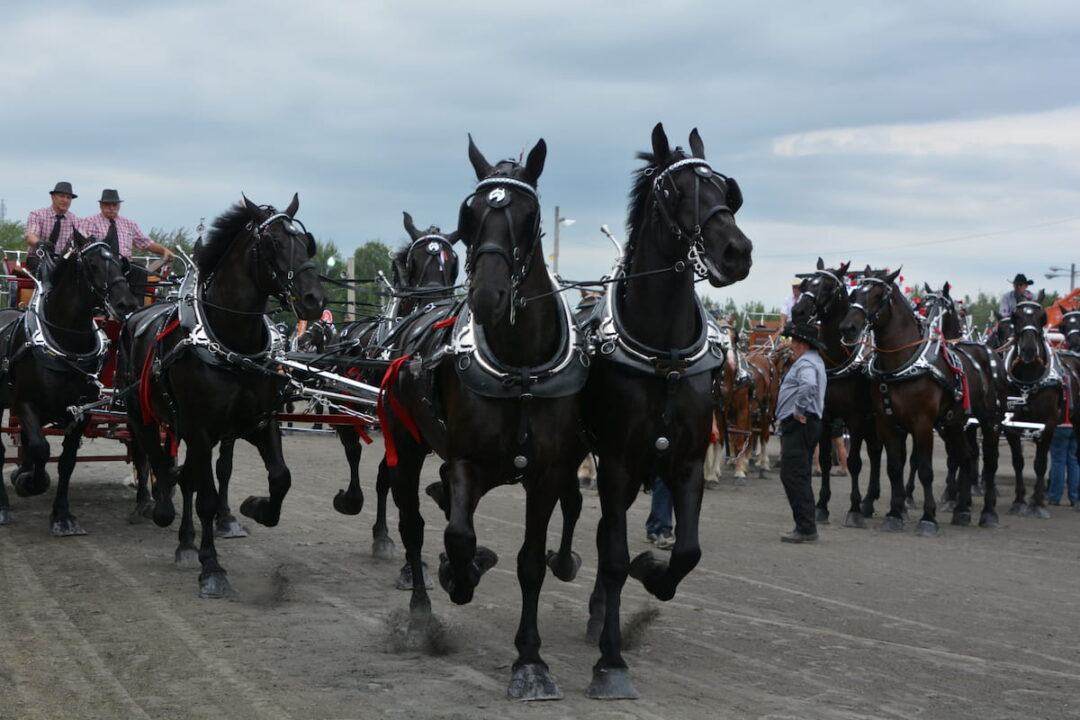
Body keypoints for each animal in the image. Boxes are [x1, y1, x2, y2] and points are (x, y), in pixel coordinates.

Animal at [0, 230, 140, 533]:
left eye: (121, 263)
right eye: (92, 264)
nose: (127, 304)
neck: (65, 344)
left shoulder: (81, 412)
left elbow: (66, 462)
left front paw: (62, 515)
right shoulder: (25, 403)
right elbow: (41, 448)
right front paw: (30, 483)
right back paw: (4, 506)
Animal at [117, 194, 326, 597]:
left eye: (306, 242)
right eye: (274, 243)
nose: (314, 298)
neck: (231, 344)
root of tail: (138, 314)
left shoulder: (259, 423)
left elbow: (280, 477)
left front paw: (256, 507)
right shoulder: (199, 429)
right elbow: (208, 499)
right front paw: (212, 568)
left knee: (186, 477)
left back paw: (185, 542)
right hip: (140, 411)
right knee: (156, 459)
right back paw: (159, 510)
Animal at [377, 137, 589, 700]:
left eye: (530, 215)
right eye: (469, 215)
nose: (488, 295)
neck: (520, 370)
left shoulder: (546, 474)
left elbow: (531, 563)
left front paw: (530, 662)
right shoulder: (466, 461)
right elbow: (457, 535)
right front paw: (458, 576)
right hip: (407, 445)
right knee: (413, 524)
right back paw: (423, 608)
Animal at [582, 123, 751, 698]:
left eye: (725, 189)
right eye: (676, 190)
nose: (737, 250)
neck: (664, 355)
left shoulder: (685, 461)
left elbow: (687, 552)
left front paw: (652, 572)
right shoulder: (614, 462)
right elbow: (614, 557)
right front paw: (612, 662)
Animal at [790, 259, 883, 528]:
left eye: (829, 287)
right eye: (808, 284)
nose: (798, 311)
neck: (838, 359)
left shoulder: (856, 418)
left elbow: (854, 462)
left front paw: (853, 510)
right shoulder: (825, 416)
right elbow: (823, 459)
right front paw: (821, 506)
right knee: (875, 453)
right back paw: (870, 501)